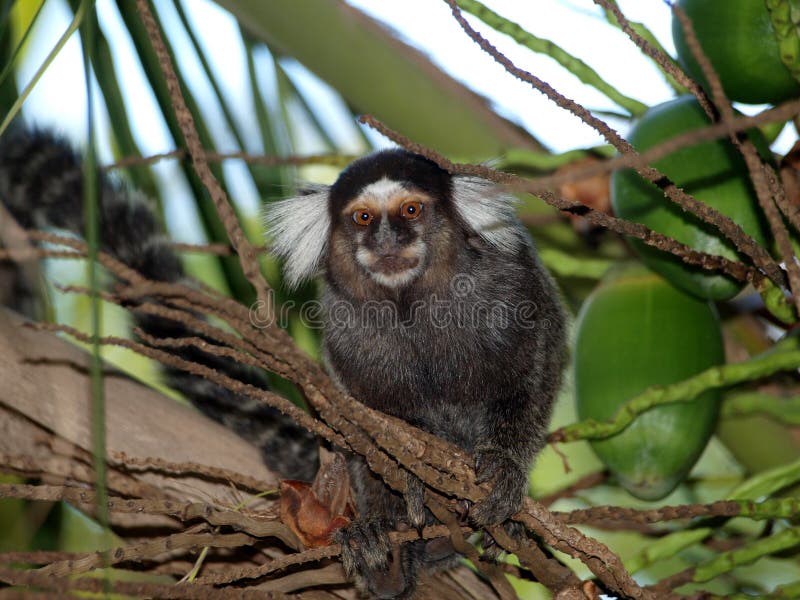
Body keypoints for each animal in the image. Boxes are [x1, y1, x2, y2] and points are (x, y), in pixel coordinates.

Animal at [265, 149, 567, 598]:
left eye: (410, 210)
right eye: (364, 218)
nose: (387, 241)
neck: (410, 303)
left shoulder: (516, 282)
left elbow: (534, 374)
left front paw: (505, 466)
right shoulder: (343, 334)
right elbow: (363, 428)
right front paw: (386, 510)